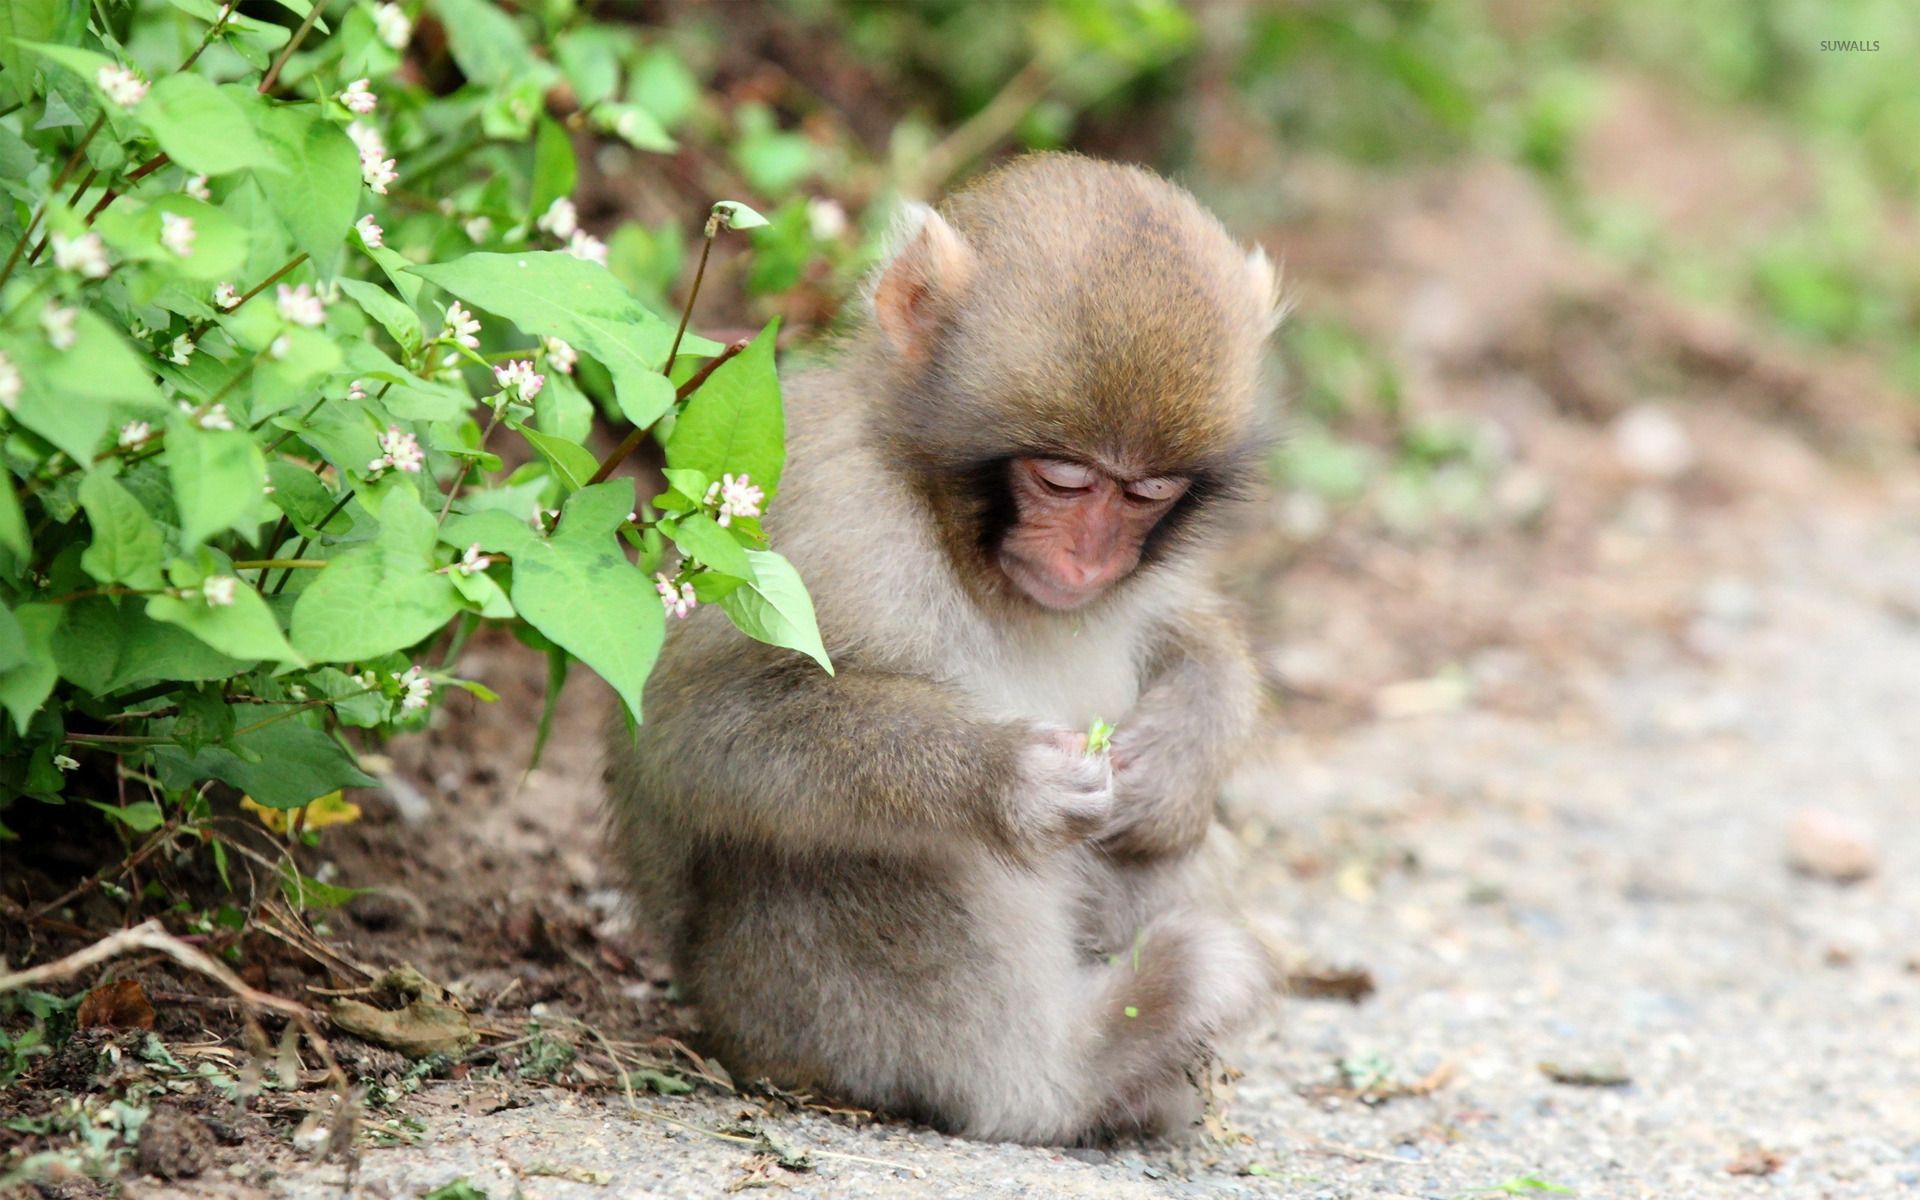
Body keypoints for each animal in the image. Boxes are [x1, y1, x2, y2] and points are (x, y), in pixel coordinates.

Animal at [606, 153, 1283, 1145]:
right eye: (1062, 477)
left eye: (1148, 492)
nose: (1088, 560)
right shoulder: (828, 517)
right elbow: (699, 731)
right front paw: (1007, 777)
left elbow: (1193, 633)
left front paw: (1175, 760)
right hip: (791, 1015)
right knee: (859, 856)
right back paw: (1072, 1071)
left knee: (1152, 849)